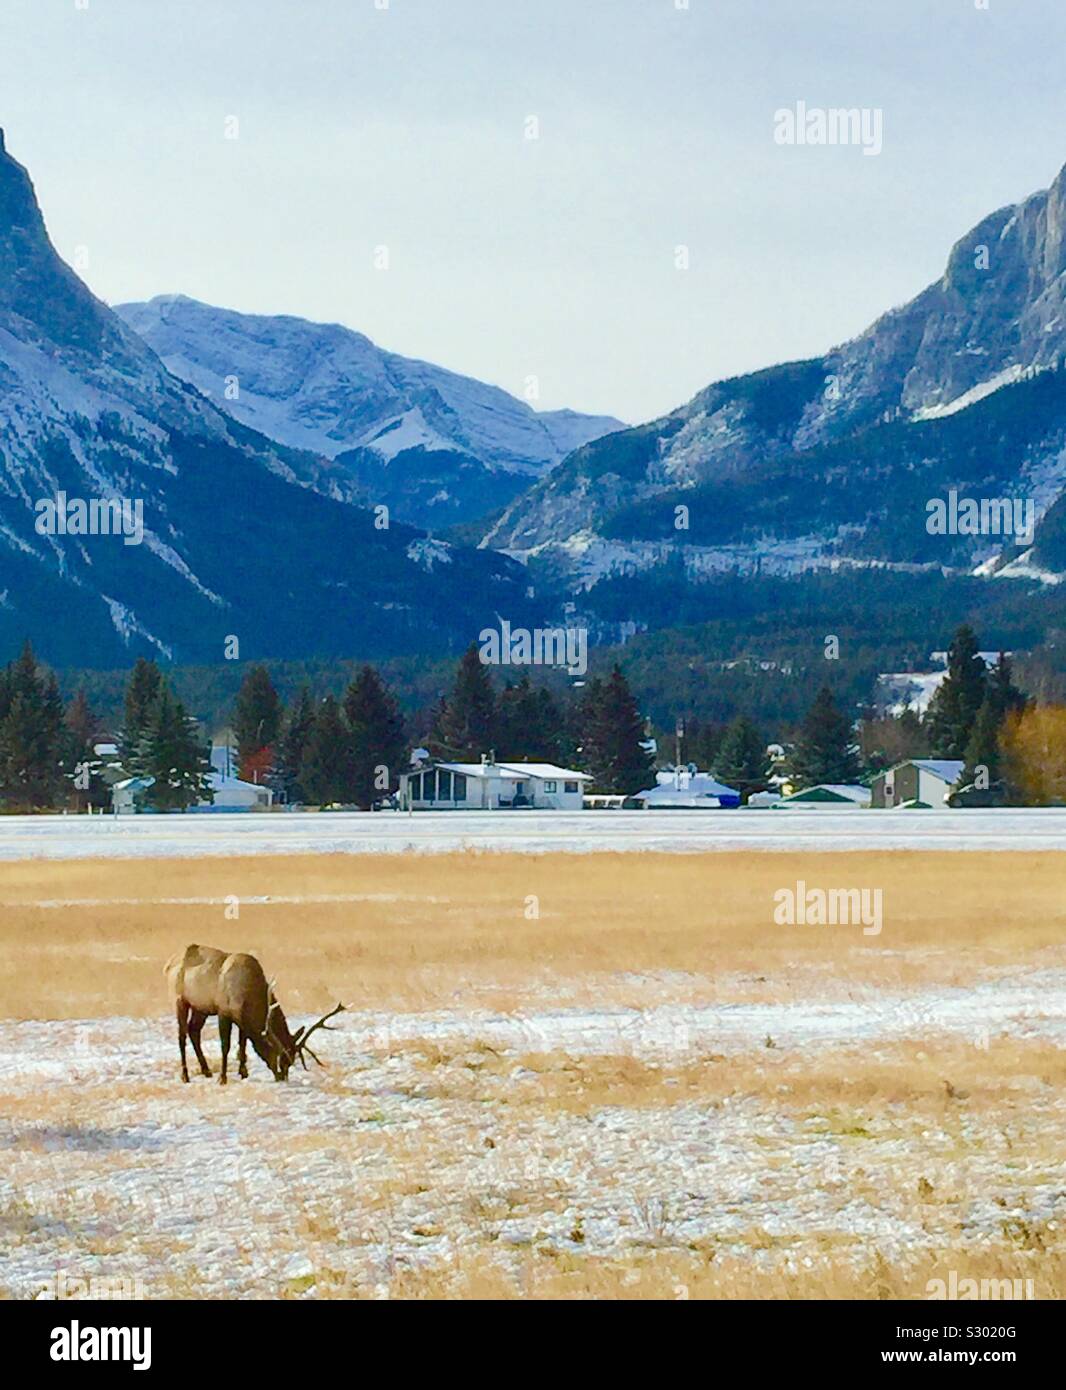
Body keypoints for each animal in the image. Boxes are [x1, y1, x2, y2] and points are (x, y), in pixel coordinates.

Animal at [165, 944, 344, 1084]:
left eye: (292, 1060)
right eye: (276, 1053)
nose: (281, 1077)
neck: (249, 993)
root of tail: (167, 965)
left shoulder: (240, 1018)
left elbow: (243, 1043)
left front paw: (243, 1073)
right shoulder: (224, 1011)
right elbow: (226, 1046)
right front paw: (223, 1078)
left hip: (200, 1007)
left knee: (193, 1030)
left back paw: (206, 1071)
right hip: (180, 999)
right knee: (182, 1035)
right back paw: (185, 1076)